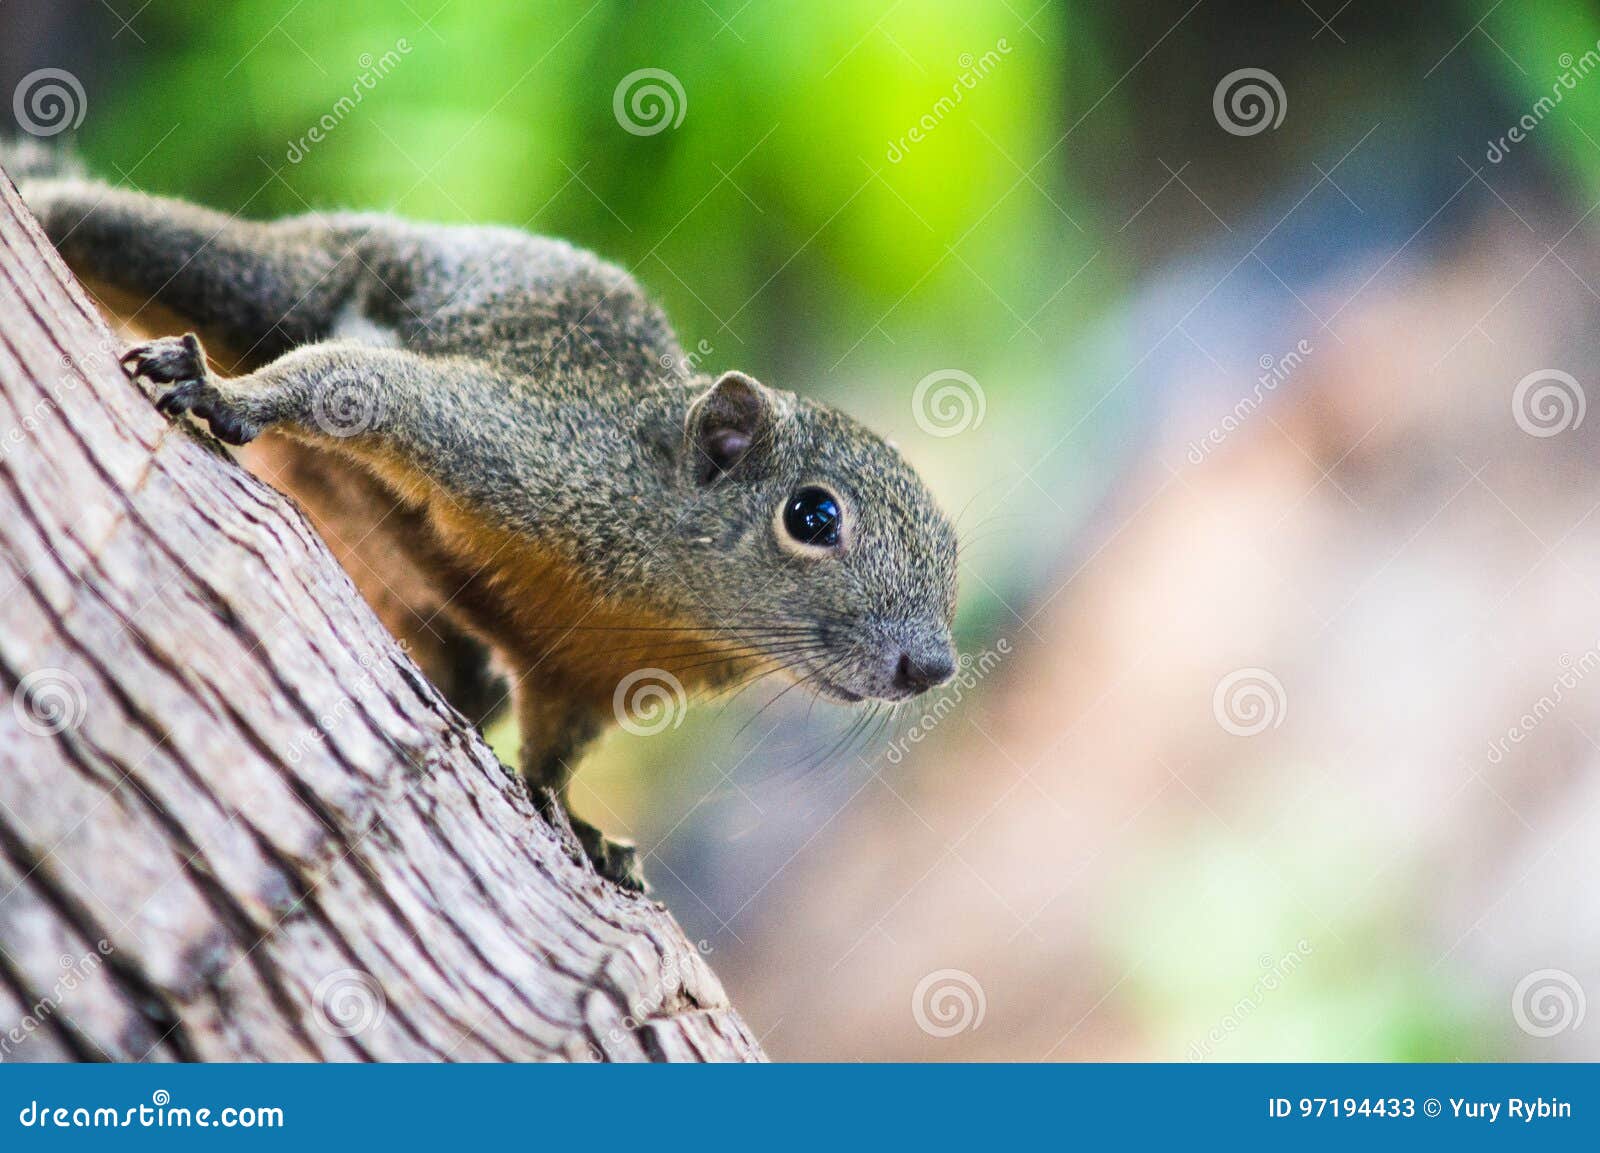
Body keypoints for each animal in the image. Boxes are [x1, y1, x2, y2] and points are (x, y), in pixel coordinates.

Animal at [8, 146, 959, 890]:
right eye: (813, 515)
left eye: (953, 554)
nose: (933, 666)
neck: (666, 605)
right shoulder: (530, 447)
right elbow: (364, 385)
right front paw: (231, 395)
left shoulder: (585, 678)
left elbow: (556, 752)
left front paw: (583, 827)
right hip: (284, 278)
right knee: (131, 232)